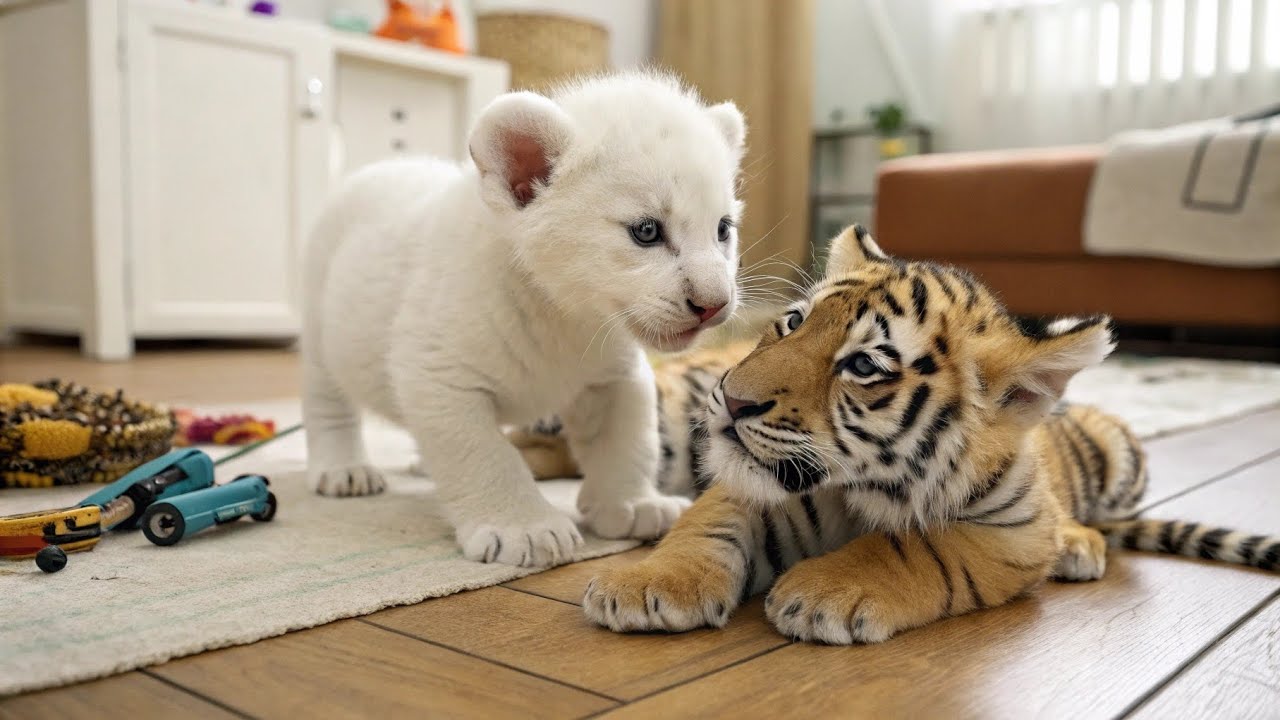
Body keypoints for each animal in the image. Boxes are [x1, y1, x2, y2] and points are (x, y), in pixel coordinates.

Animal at [509, 224, 1280, 644]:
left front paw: (825, 592)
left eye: (862, 366)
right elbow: (708, 522)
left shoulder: (1010, 532)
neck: (860, 490)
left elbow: (923, 547)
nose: (731, 398)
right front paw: (650, 583)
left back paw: (1080, 545)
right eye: (792, 323)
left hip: (1125, 453)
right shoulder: (746, 484)